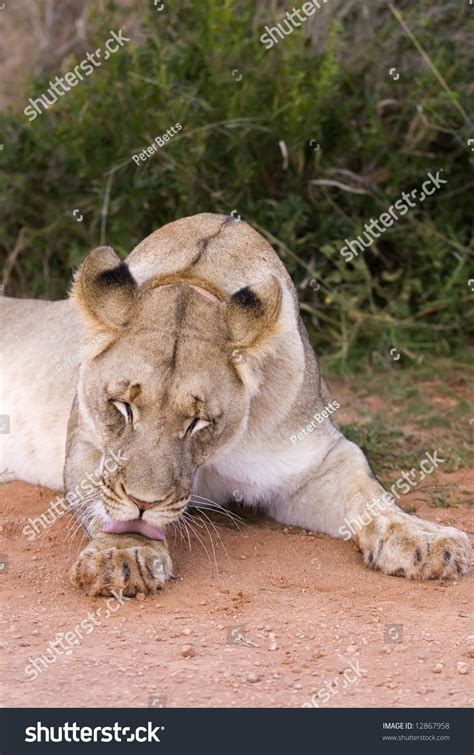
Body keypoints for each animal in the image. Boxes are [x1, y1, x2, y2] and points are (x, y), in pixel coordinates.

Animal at [0, 213, 471, 595]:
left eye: (198, 422)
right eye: (122, 407)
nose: (145, 503)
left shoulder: (320, 458)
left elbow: (372, 497)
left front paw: (425, 539)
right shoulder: (87, 443)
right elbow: (107, 501)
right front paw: (124, 553)